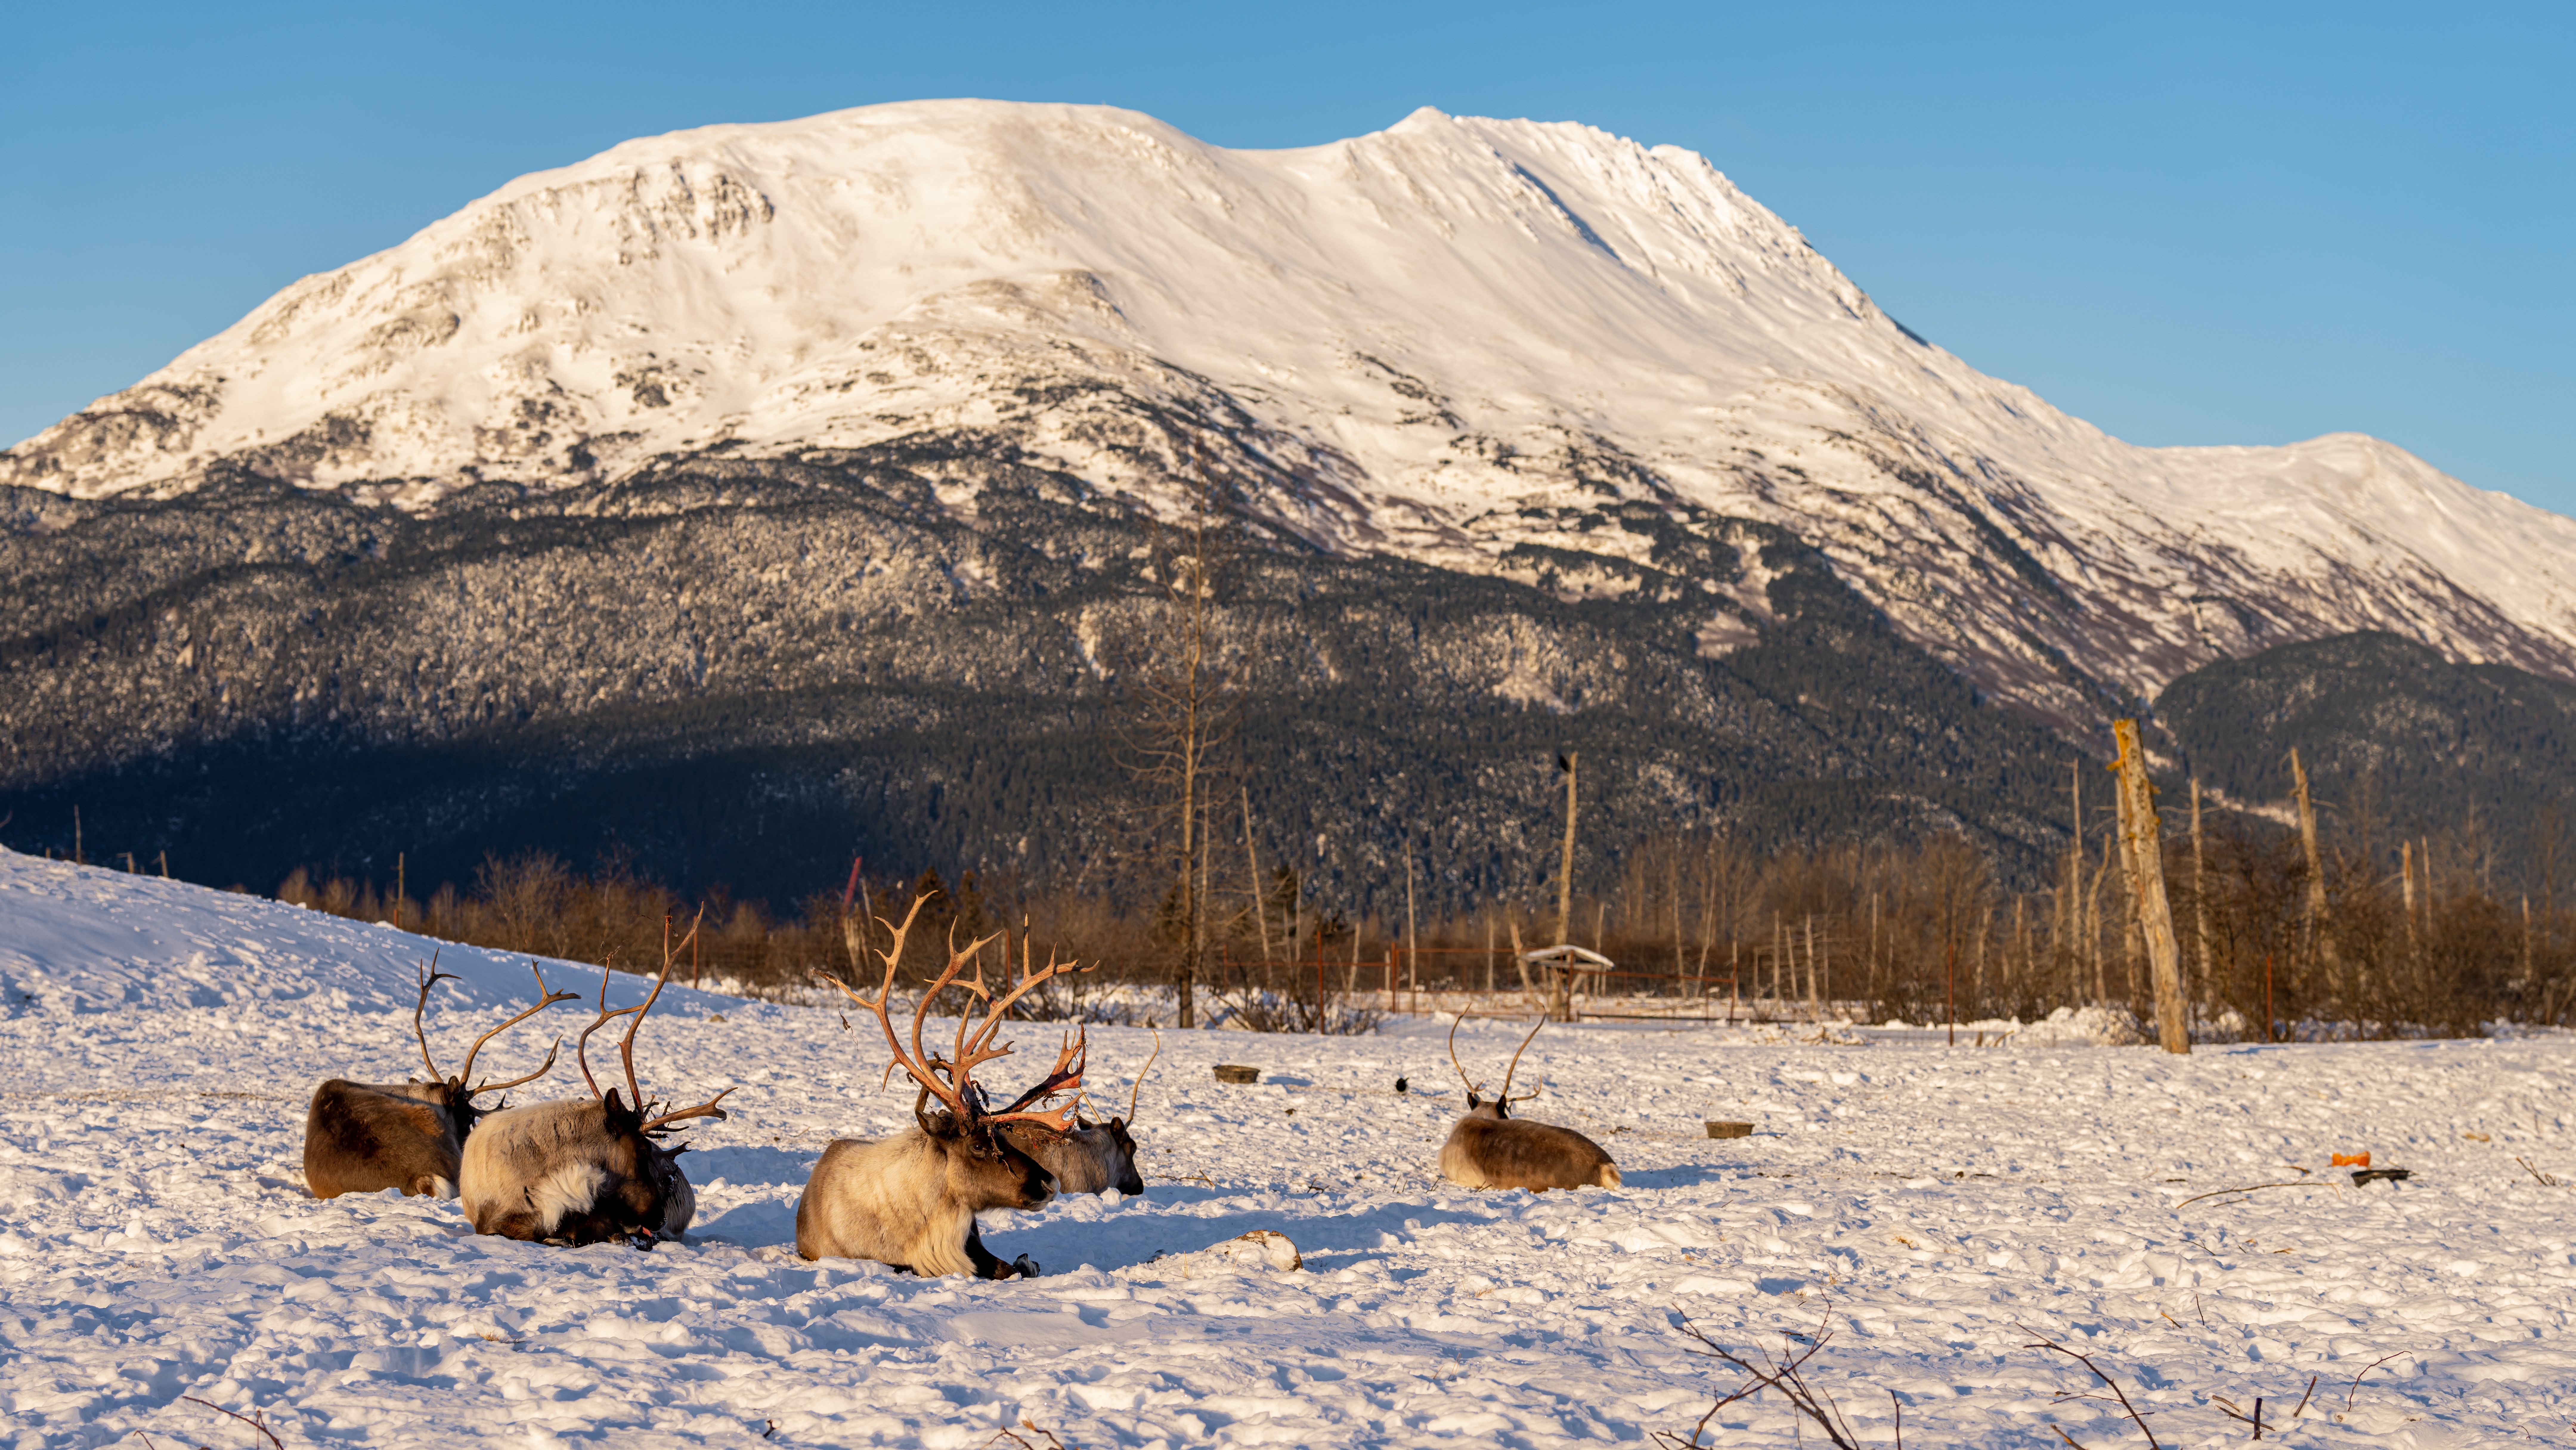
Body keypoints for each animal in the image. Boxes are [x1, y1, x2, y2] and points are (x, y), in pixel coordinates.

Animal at [798, 896, 1090, 1277]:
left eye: (1003, 1137)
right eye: (979, 1146)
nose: (1050, 1183)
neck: (930, 1229)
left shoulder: (974, 1245)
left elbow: (1012, 1267)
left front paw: (1026, 1262)